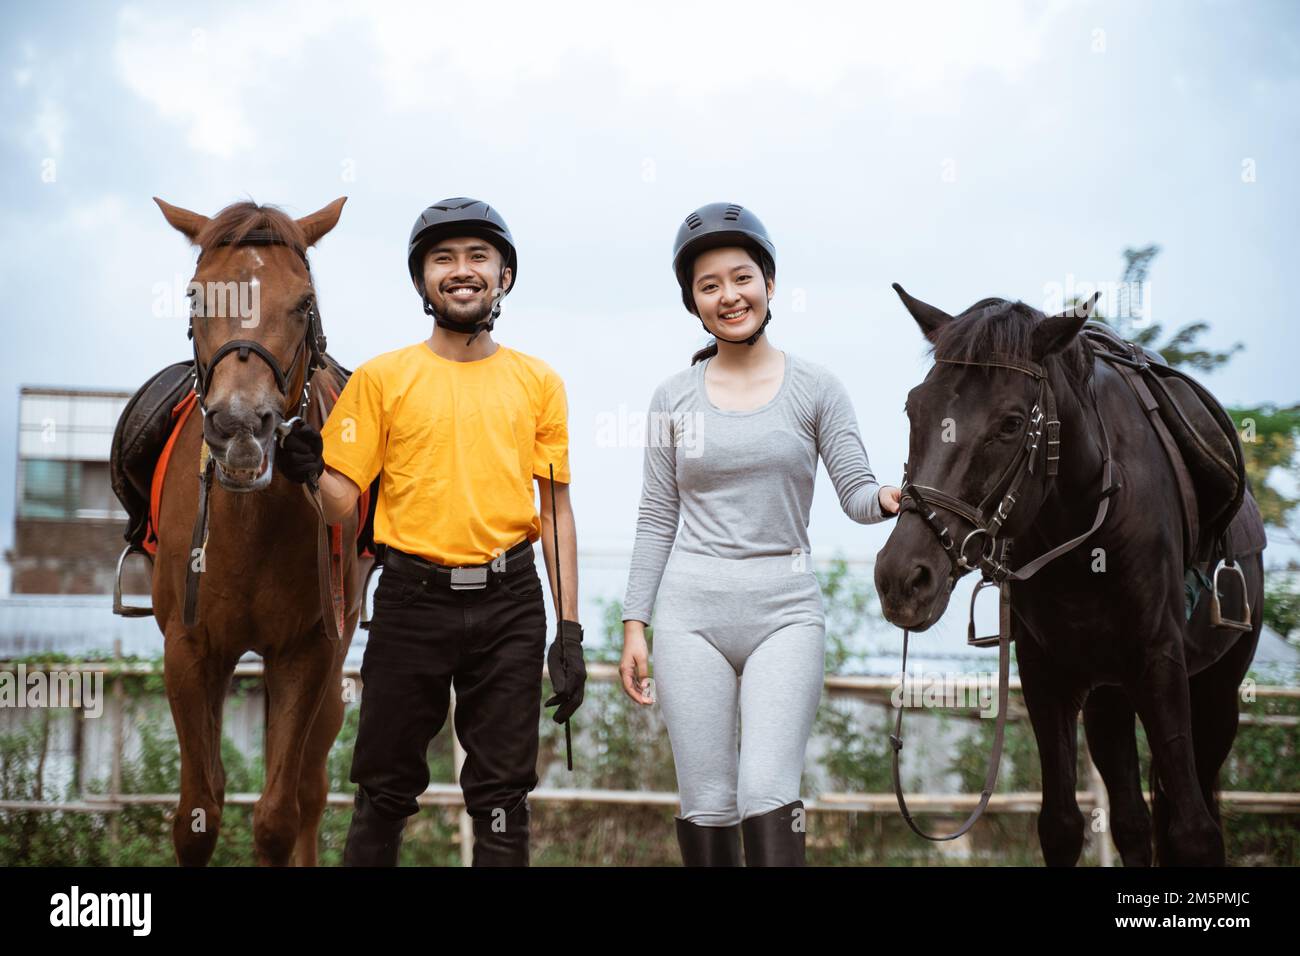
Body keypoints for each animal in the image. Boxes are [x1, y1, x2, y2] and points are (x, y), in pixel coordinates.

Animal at [150, 197, 364, 865]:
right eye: (196, 296)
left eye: (303, 301)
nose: (241, 427)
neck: (247, 525)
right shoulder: (190, 649)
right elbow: (198, 814)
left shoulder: (307, 652)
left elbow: (276, 816)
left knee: (309, 791)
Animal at [874, 286, 1264, 866]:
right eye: (913, 408)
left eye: (1012, 424)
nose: (903, 577)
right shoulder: (1047, 677)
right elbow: (1060, 824)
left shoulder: (1162, 666)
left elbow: (1196, 832)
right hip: (1111, 697)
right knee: (1131, 820)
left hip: (1215, 693)